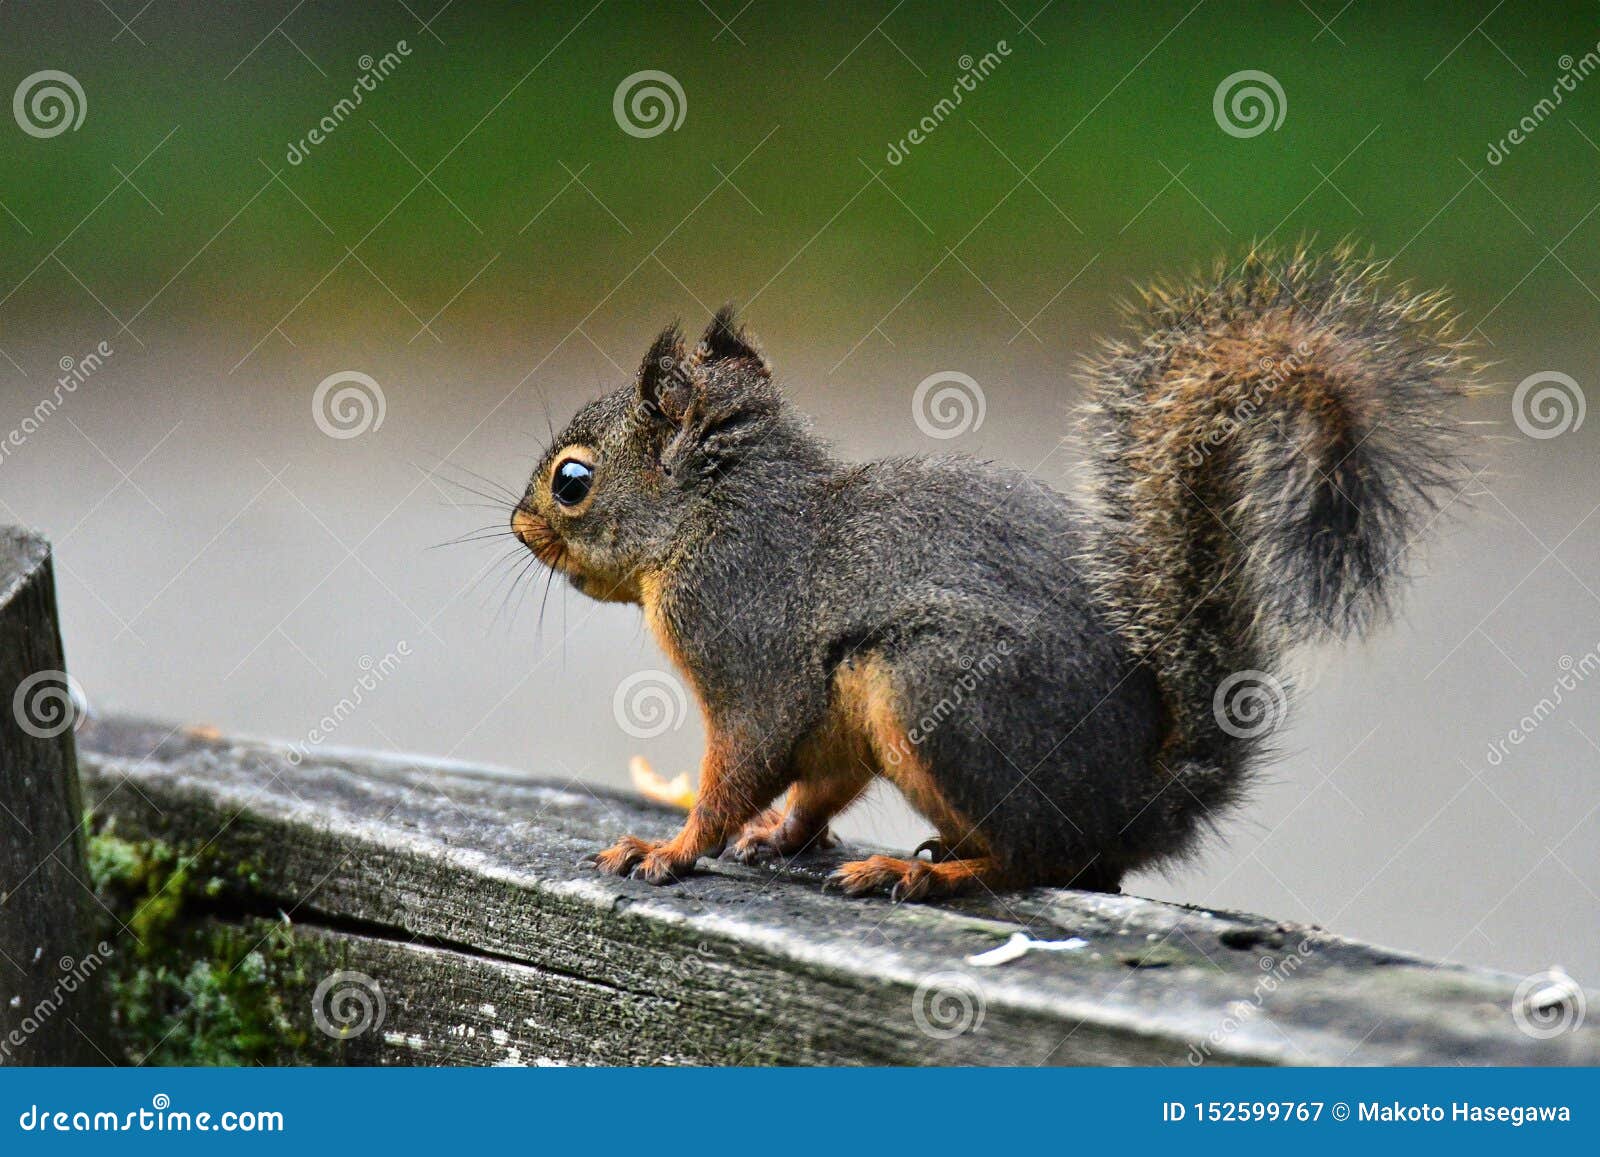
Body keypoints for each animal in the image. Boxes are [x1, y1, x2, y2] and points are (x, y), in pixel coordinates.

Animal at [509, 245, 1476, 901]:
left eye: (572, 481)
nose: (518, 526)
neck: (711, 517)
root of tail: (1134, 803)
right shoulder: (834, 715)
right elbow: (820, 782)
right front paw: (781, 836)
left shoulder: (748, 644)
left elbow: (740, 765)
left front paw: (668, 850)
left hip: (934, 690)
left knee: (1039, 860)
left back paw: (922, 873)